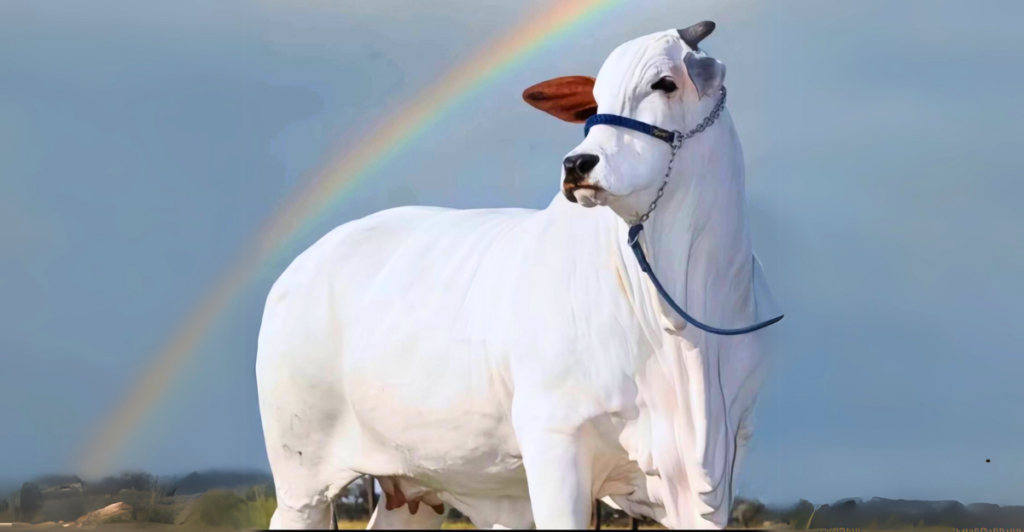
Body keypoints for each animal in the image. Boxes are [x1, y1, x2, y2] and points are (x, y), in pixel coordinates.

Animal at [256, 22, 778, 529]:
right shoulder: (555, 442)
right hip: (300, 477)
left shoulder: (723, 465)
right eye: (596, 99)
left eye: (665, 83)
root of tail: (306, 260)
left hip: (415, 485)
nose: (577, 164)